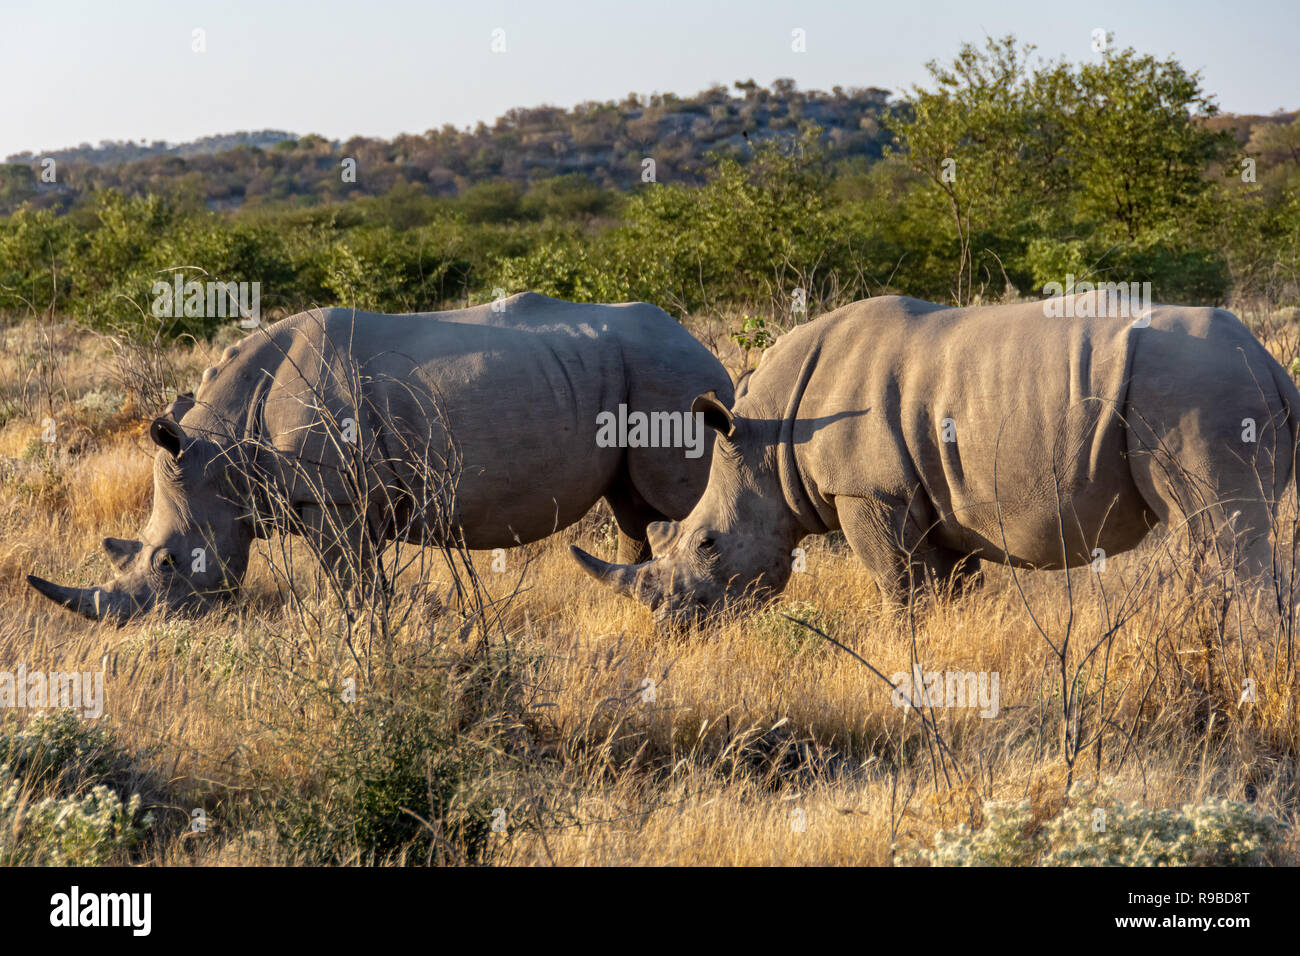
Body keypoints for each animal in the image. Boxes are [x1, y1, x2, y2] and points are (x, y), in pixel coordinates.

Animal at [29, 293, 732, 622]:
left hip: (671, 379)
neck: (222, 446)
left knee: (679, 504)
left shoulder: (332, 498)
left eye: (169, 563)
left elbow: (354, 584)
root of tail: (709, 352)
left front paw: (365, 636)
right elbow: (362, 582)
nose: (144, 631)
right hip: (639, 376)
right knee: (635, 512)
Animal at [572, 293, 1300, 627]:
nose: (673, 627)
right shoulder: (935, 503)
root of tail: (1271, 363)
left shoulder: (870, 494)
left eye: (708, 543)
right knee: (1219, 533)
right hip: (1211, 385)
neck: (767, 437)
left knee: (1220, 528)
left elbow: (900, 589)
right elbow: (950, 590)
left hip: (1198, 390)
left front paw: (905, 652)